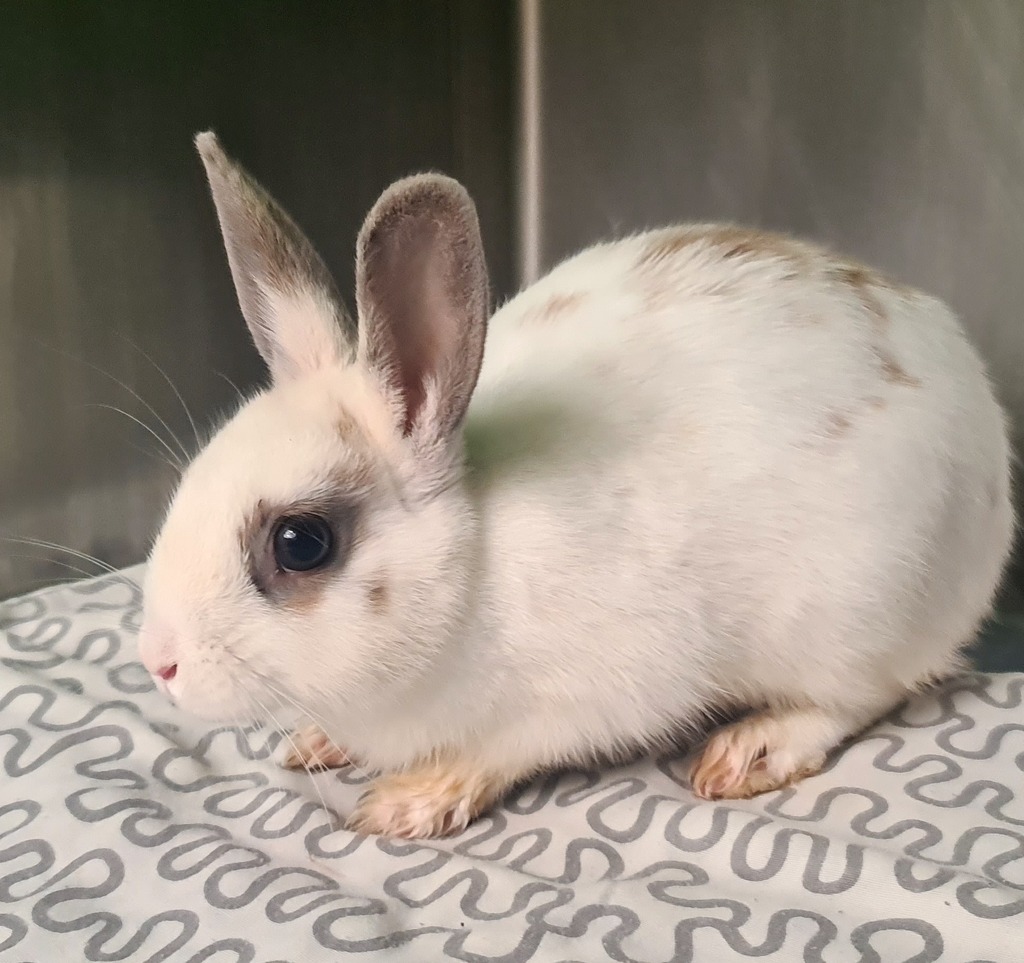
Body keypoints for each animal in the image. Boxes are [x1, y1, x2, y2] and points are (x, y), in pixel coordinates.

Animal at [137, 130, 1015, 840]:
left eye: (301, 542)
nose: (157, 663)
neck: (471, 573)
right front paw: (318, 741)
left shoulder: (594, 694)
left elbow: (508, 746)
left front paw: (412, 799)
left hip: (856, 611)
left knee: (865, 693)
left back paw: (749, 750)